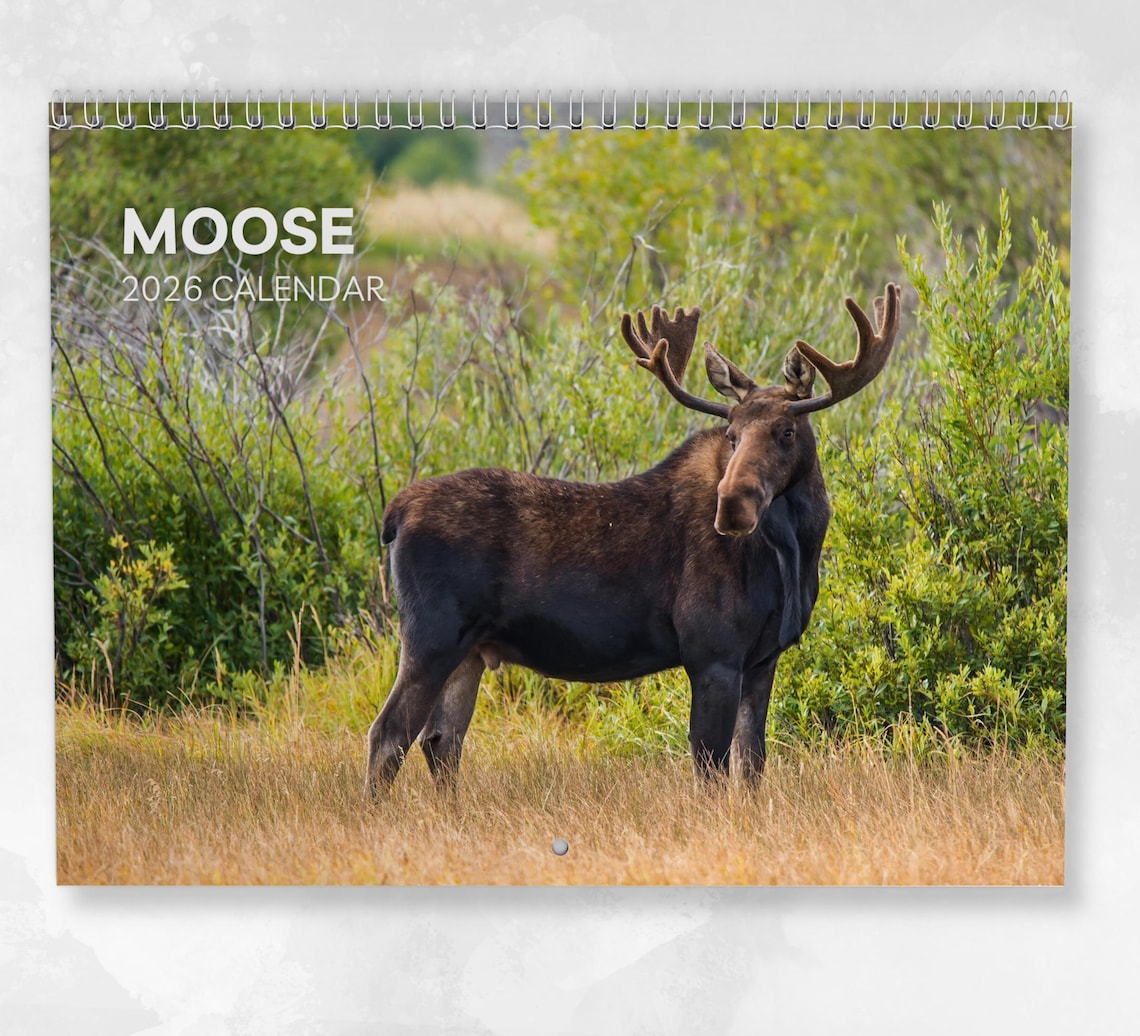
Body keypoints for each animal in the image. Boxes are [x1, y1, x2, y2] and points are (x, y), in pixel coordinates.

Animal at [366, 283, 901, 796]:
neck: (795, 552)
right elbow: (711, 767)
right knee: (390, 733)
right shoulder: (712, 654)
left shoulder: (762, 659)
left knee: (441, 739)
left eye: (786, 430)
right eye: (731, 434)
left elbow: (752, 766)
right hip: (431, 637)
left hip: (470, 651)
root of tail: (394, 514)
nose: (732, 506)